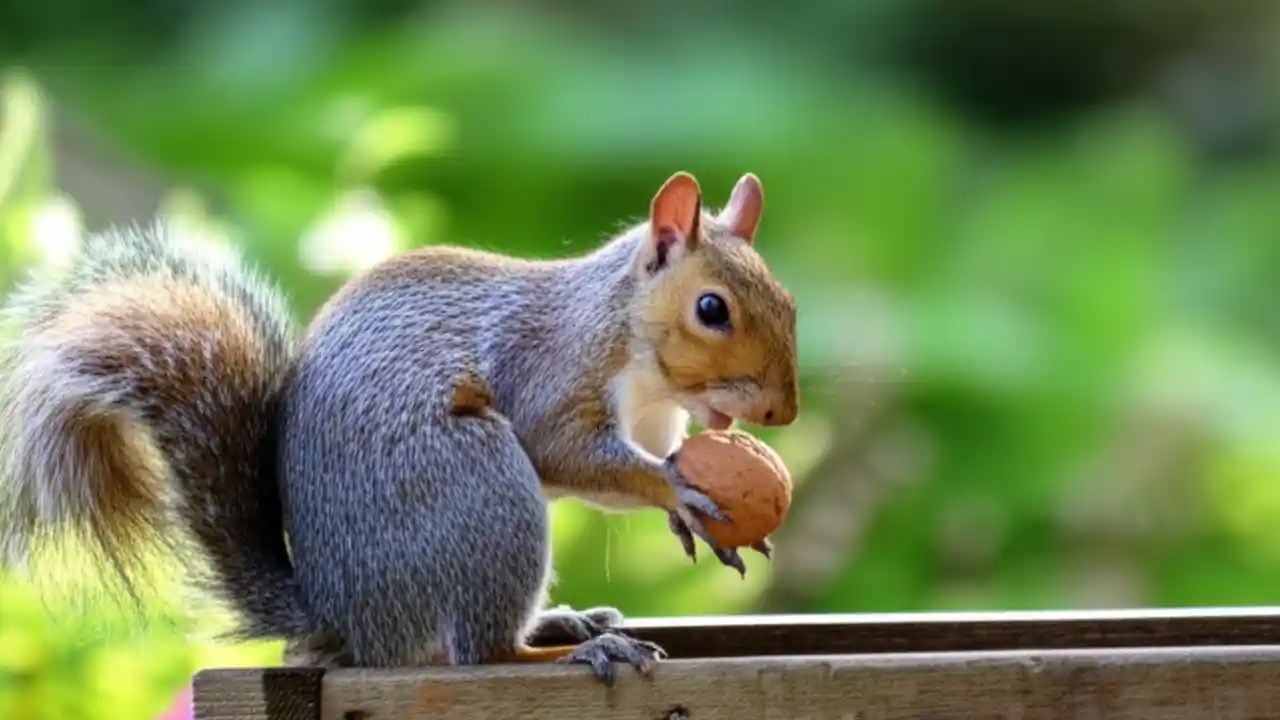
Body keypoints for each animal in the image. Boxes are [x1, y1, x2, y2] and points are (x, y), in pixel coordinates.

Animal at [0, 171, 798, 685]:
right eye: (712, 309)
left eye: (787, 301)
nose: (781, 413)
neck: (641, 360)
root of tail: (345, 618)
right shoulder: (549, 370)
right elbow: (568, 451)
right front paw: (678, 493)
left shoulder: (653, 420)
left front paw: (684, 508)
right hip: (480, 485)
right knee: (481, 653)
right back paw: (576, 652)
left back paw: (569, 624)